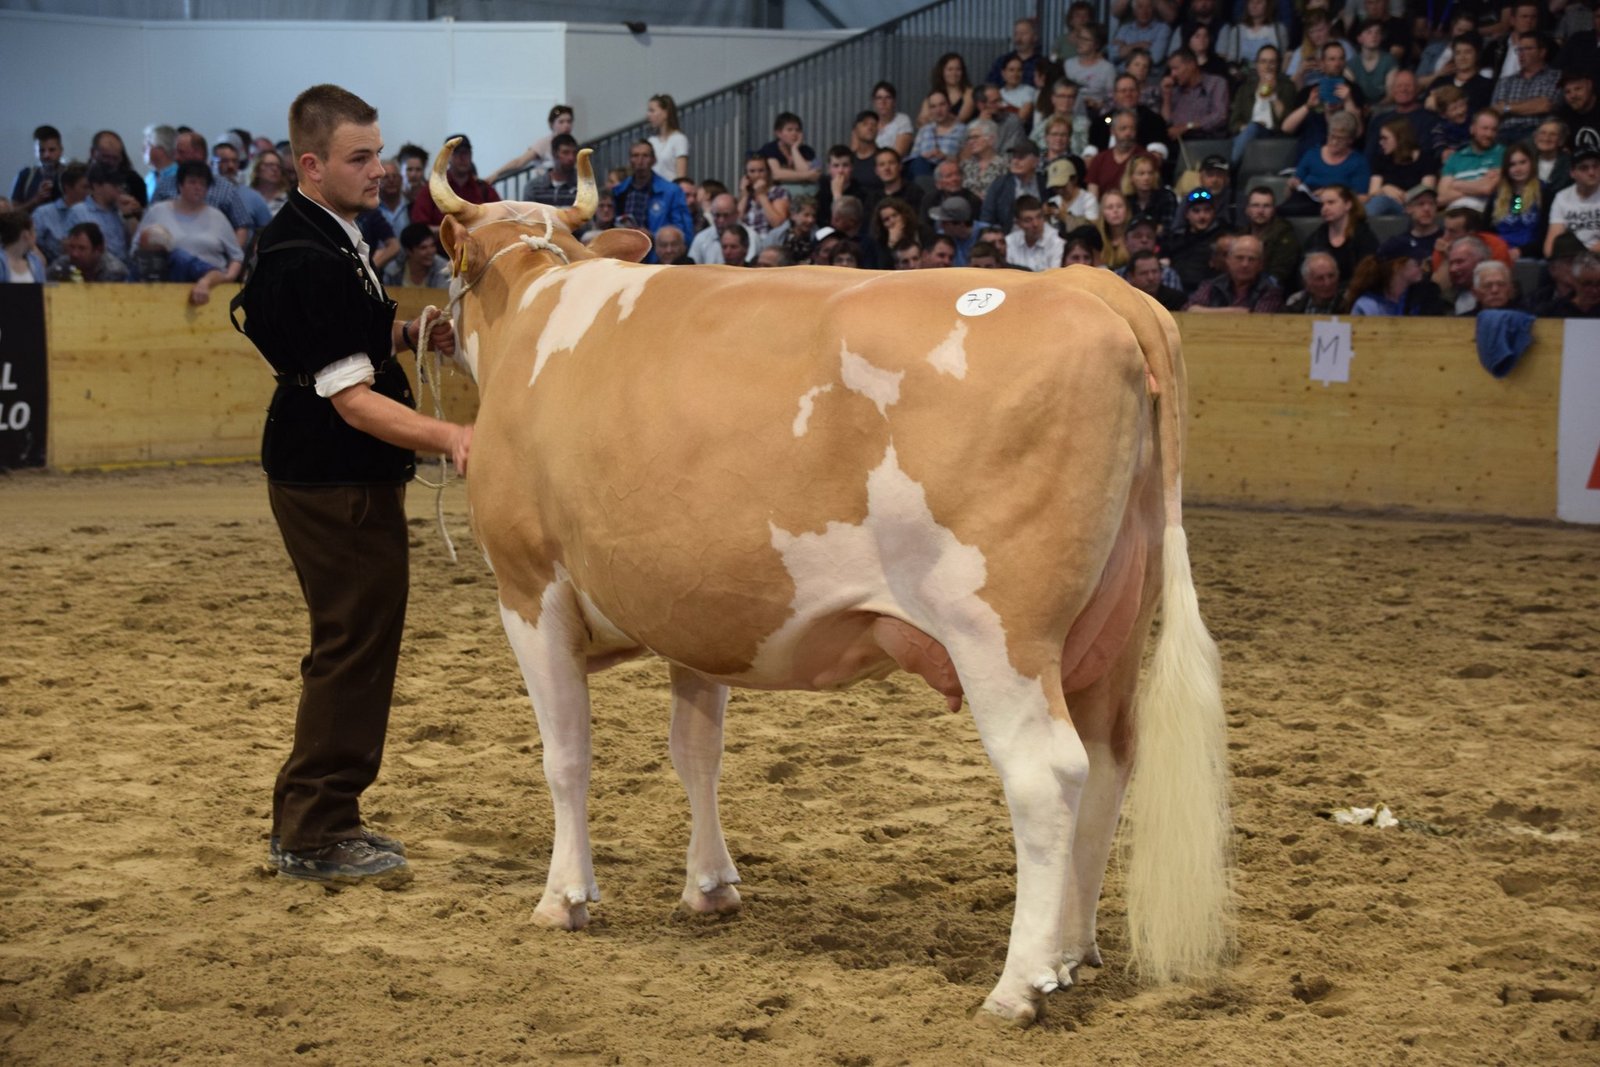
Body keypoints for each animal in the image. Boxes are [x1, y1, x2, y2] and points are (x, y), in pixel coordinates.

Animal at [428, 140, 1232, 1024]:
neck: (535, 304)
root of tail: (1098, 289)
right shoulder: (697, 612)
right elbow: (696, 752)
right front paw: (709, 886)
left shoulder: (529, 587)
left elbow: (567, 753)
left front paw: (565, 896)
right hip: (1113, 631)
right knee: (1110, 761)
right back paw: (1071, 949)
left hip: (1000, 630)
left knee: (1047, 773)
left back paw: (1020, 981)